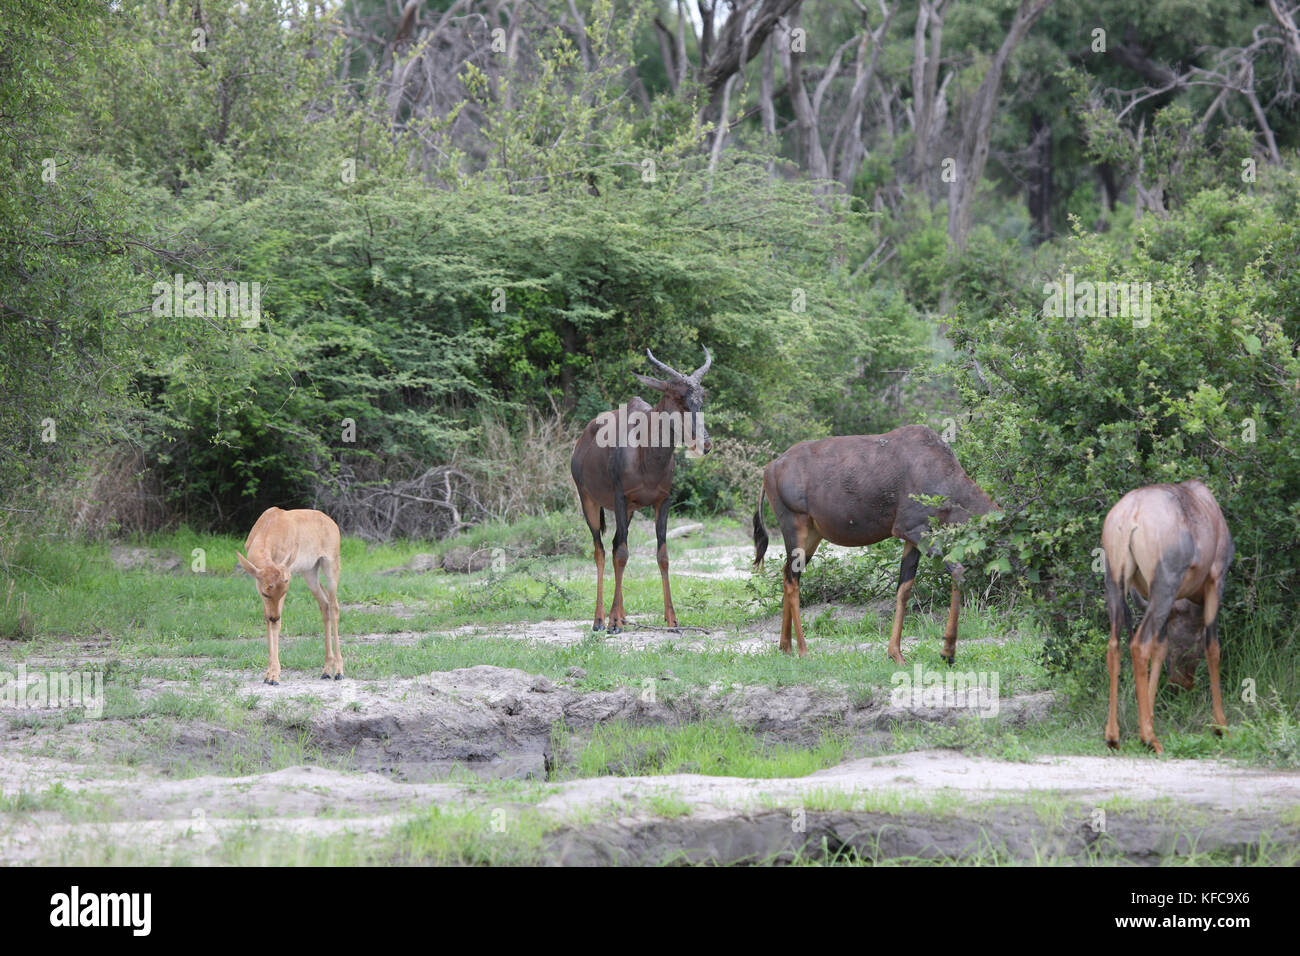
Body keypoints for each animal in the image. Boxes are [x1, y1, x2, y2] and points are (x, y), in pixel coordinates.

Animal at [236, 507, 343, 685]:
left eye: (284, 592)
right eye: (265, 593)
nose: (274, 616)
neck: (269, 525)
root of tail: (331, 522)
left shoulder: (288, 574)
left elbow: (276, 625)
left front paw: (274, 676)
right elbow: (267, 621)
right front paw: (268, 674)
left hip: (330, 564)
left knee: (334, 607)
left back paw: (339, 671)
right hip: (310, 572)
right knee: (325, 604)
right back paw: (326, 670)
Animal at [570, 347, 713, 633]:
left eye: (702, 396)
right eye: (677, 395)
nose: (704, 444)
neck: (645, 451)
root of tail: (580, 443)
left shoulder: (662, 502)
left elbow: (662, 555)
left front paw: (672, 620)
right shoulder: (620, 498)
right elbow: (622, 554)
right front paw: (612, 624)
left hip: (630, 511)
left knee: (615, 544)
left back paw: (621, 615)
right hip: (589, 501)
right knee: (600, 550)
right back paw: (600, 620)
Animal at [753, 425, 996, 662]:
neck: (935, 464)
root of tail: (770, 468)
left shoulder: (912, 540)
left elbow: (904, 589)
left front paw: (896, 654)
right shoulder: (913, 530)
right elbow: (957, 571)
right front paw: (947, 653)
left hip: (813, 536)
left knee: (787, 574)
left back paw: (785, 647)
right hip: (796, 527)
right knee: (792, 581)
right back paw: (804, 651)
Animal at [1101, 480, 1232, 754]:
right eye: (1193, 637)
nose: (1184, 682)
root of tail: (1131, 512)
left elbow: (1160, 647)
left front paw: (1147, 716)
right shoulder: (1216, 579)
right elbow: (1213, 647)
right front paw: (1221, 728)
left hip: (1115, 583)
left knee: (1115, 645)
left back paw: (1114, 737)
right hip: (1165, 585)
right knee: (1139, 644)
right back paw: (1151, 739)